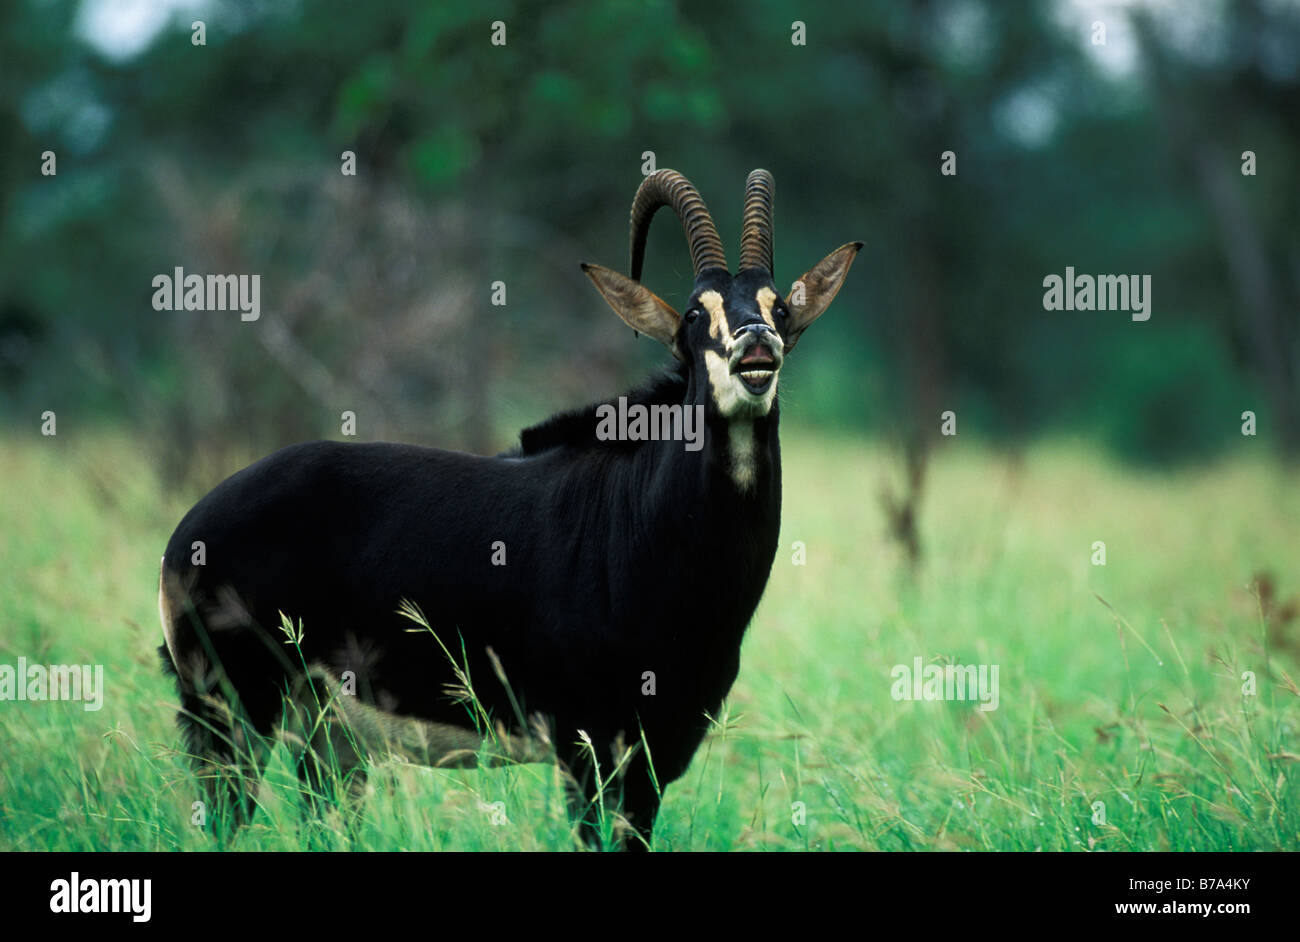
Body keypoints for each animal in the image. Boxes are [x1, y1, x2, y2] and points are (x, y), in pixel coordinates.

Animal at [159, 168, 859, 849]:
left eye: (779, 306)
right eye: (693, 312)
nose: (756, 347)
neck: (651, 531)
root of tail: (187, 531)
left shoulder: (657, 755)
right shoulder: (587, 750)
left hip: (329, 738)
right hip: (232, 715)